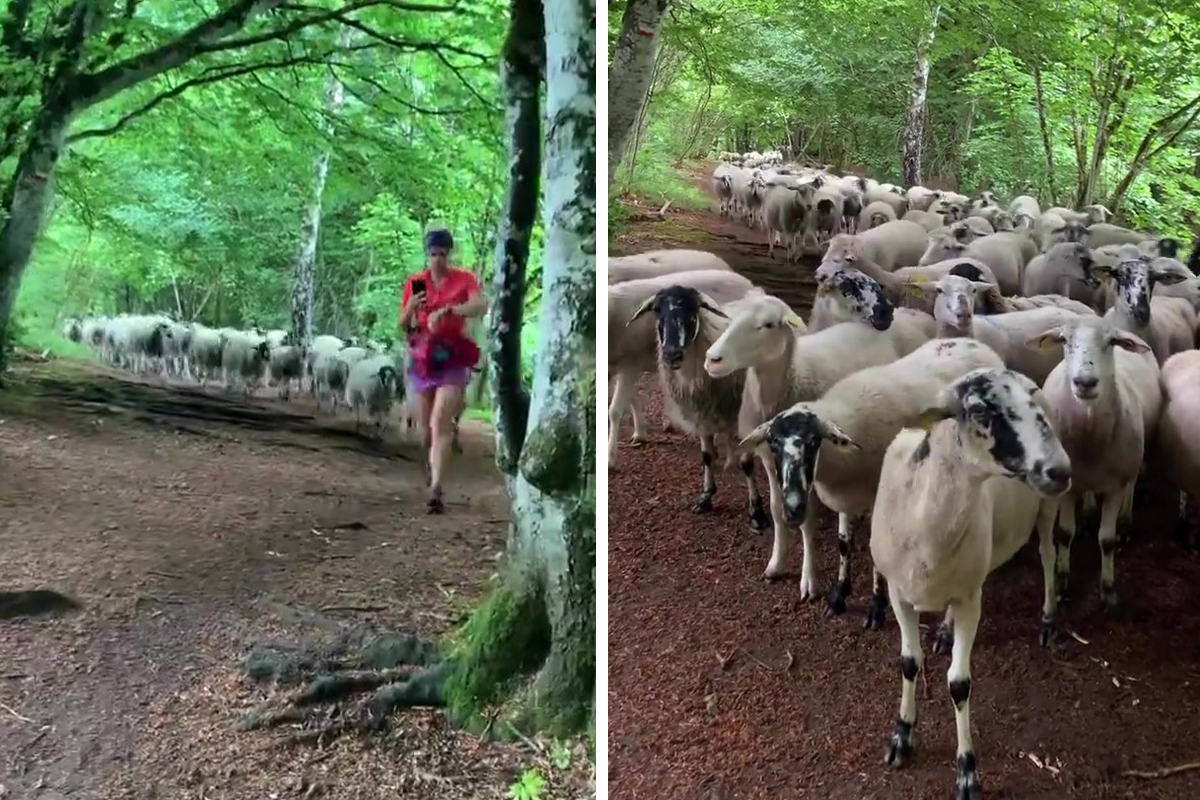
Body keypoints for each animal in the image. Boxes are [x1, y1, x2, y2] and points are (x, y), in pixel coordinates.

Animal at [627, 285, 769, 528]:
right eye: (657, 311)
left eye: (693, 313)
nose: (672, 354)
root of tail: (757, 293)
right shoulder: (701, 414)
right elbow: (707, 456)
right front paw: (706, 497)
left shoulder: (740, 417)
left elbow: (747, 464)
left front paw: (756, 510)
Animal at [705, 296, 936, 596]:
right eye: (730, 320)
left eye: (767, 324)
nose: (712, 359)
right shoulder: (771, 460)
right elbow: (776, 510)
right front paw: (776, 563)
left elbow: (807, 522)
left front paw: (809, 580)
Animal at [736, 338, 1005, 615]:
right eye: (773, 443)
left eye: (813, 441)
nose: (792, 509)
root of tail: (973, 341)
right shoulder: (847, 497)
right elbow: (844, 543)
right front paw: (840, 595)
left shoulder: (879, 495)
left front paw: (876, 607)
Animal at [870, 368, 1071, 800]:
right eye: (979, 409)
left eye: (1028, 400)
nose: (1060, 470)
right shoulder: (898, 593)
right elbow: (908, 662)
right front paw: (901, 736)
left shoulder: (969, 600)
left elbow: (959, 684)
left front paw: (967, 771)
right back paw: (945, 631)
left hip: (1047, 507)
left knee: (1048, 554)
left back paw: (1048, 619)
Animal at [1028, 318, 1161, 608]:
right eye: (1064, 340)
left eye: (1111, 342)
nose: (1085, 382)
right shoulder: (1067, 487)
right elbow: (1065, 533)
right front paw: (1062, 579)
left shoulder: (1115, 485)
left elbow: (1107, 540)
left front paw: (1108, 588)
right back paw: (1089, 512)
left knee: (1132, 483)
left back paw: (1125, 520)